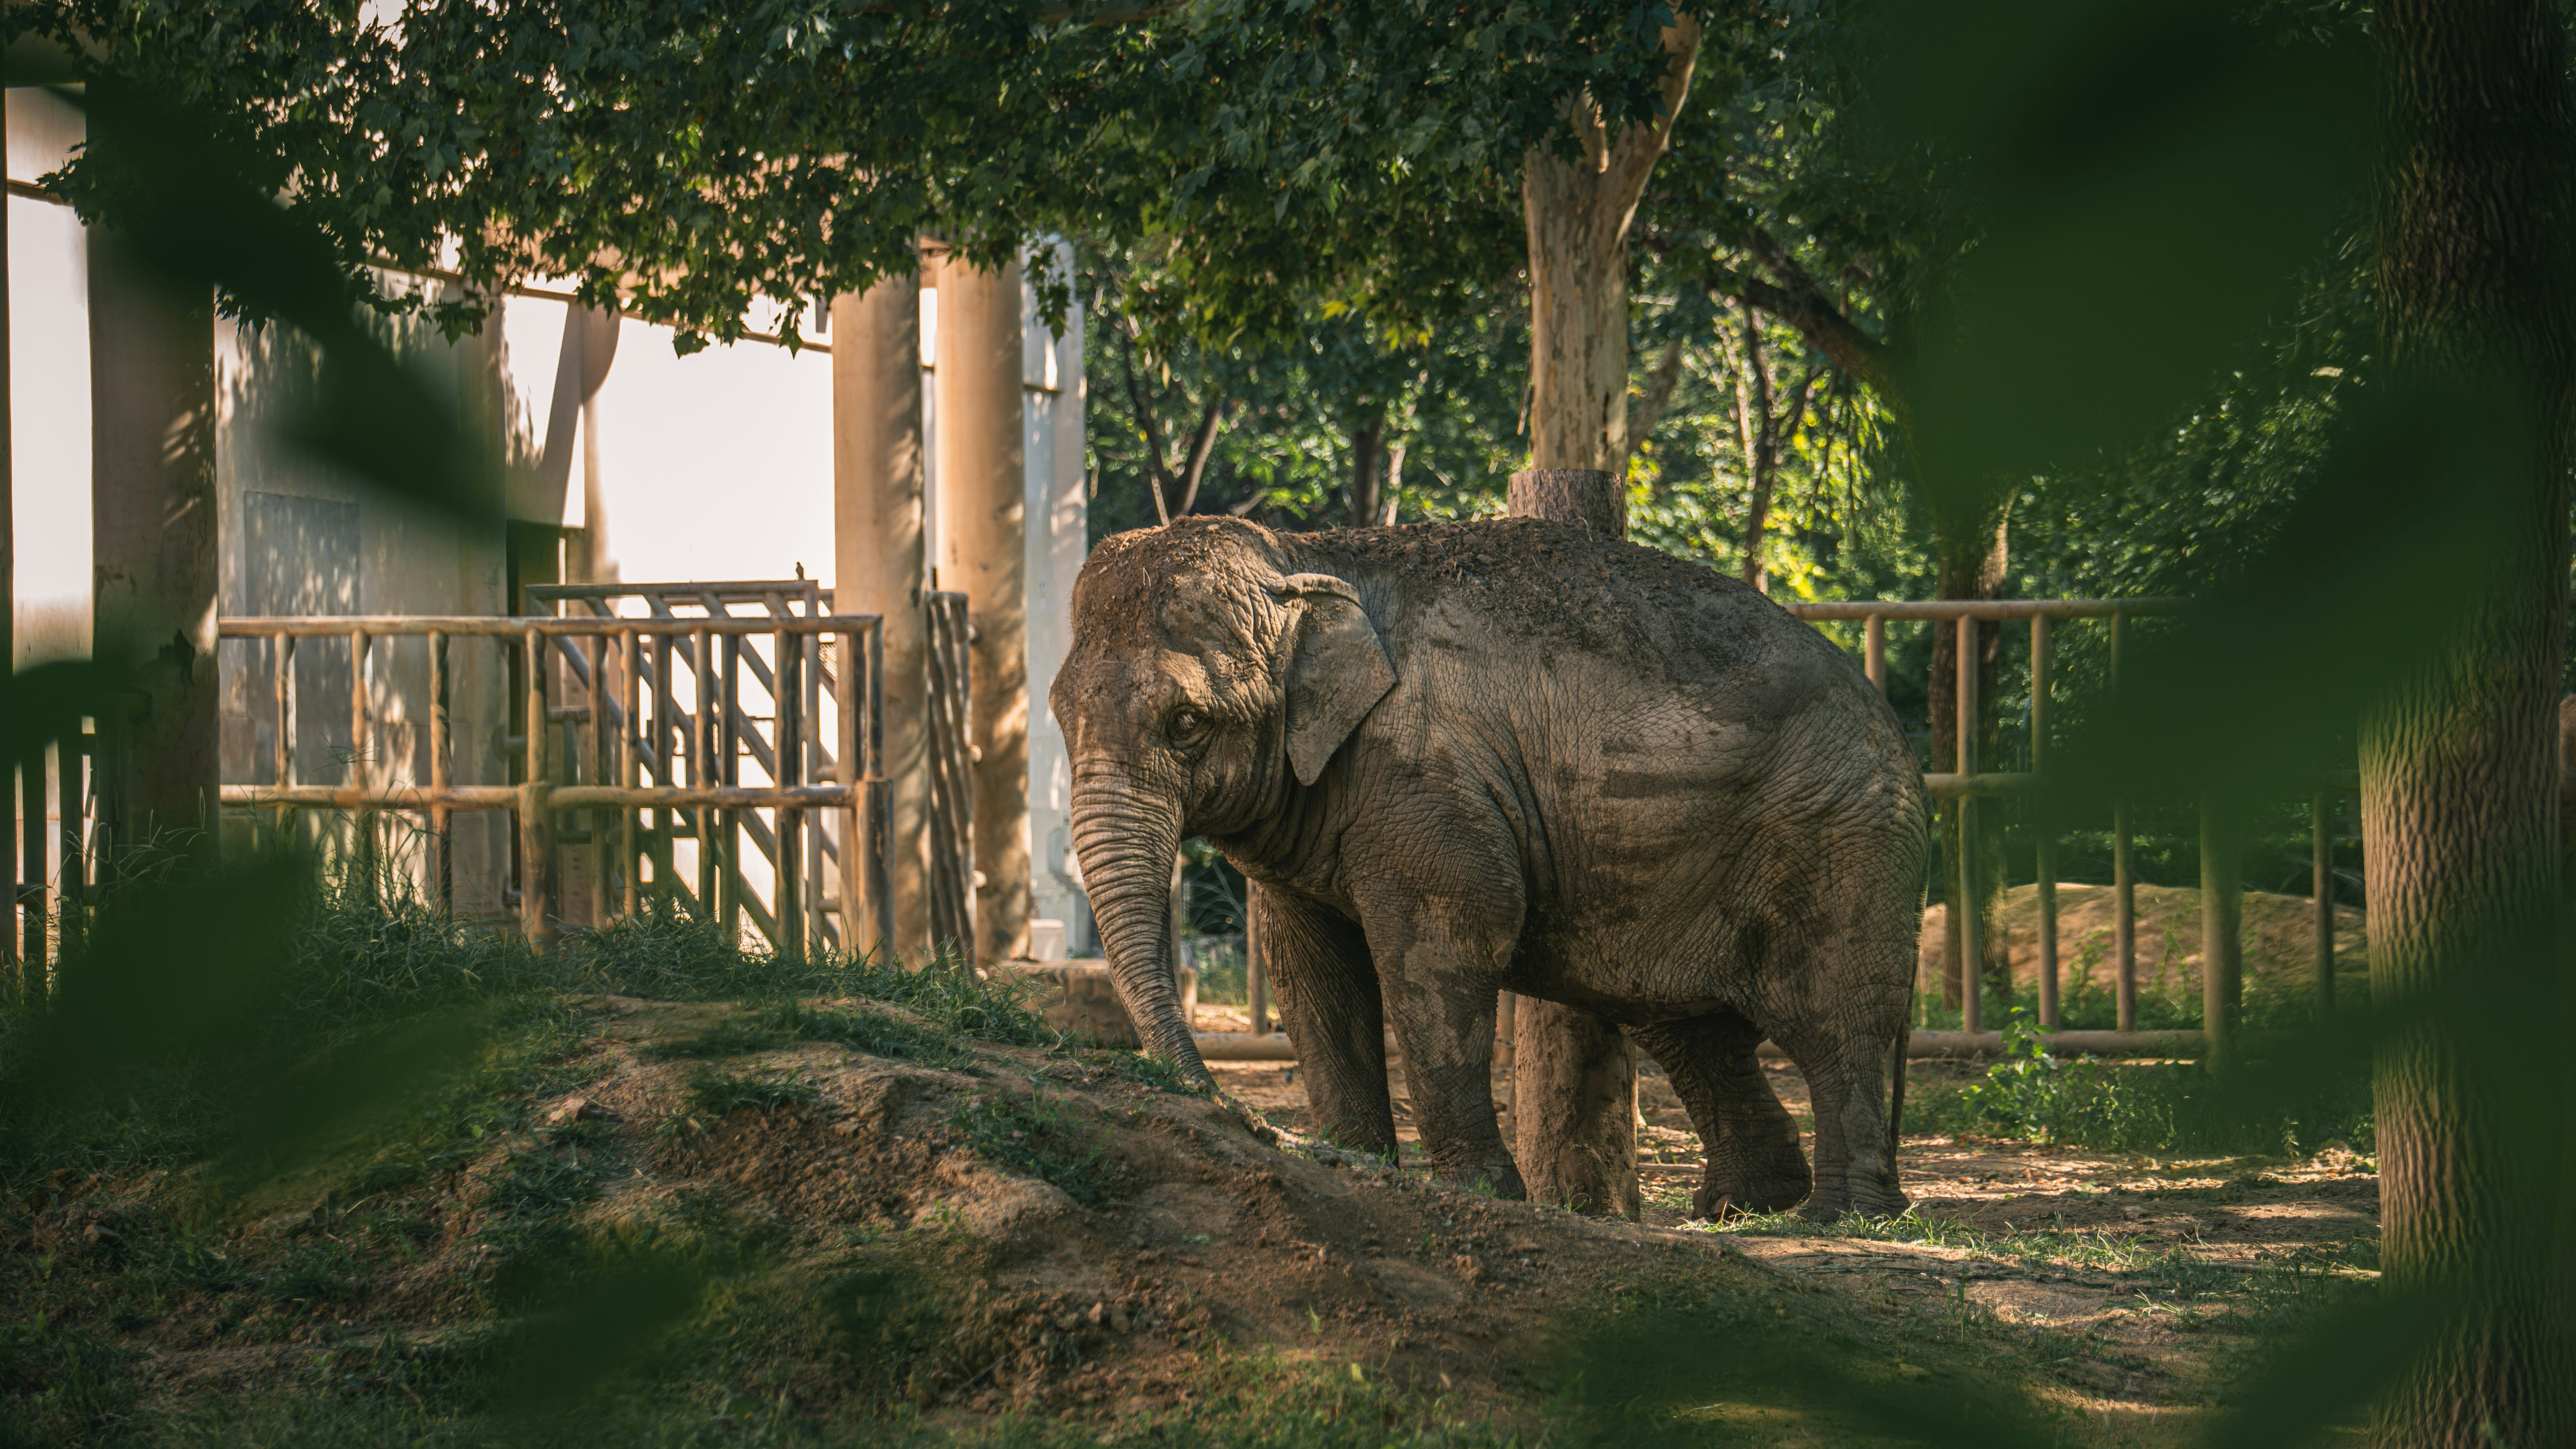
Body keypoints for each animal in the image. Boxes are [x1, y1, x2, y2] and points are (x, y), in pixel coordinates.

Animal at [1050, 514, 1929, 1219]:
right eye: (1059, 712)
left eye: (1186, 722)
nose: (1248, 1120)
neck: (1305, 553)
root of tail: (1898, 735)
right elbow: (1310, 970)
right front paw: (1352, 1167)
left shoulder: (1428, 779)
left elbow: (1444, 945)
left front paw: (1478, 1194)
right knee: (1691, 1029)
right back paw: (1742, 1208)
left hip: (1841, 841)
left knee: (1837, 1024)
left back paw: (1843, 1217)